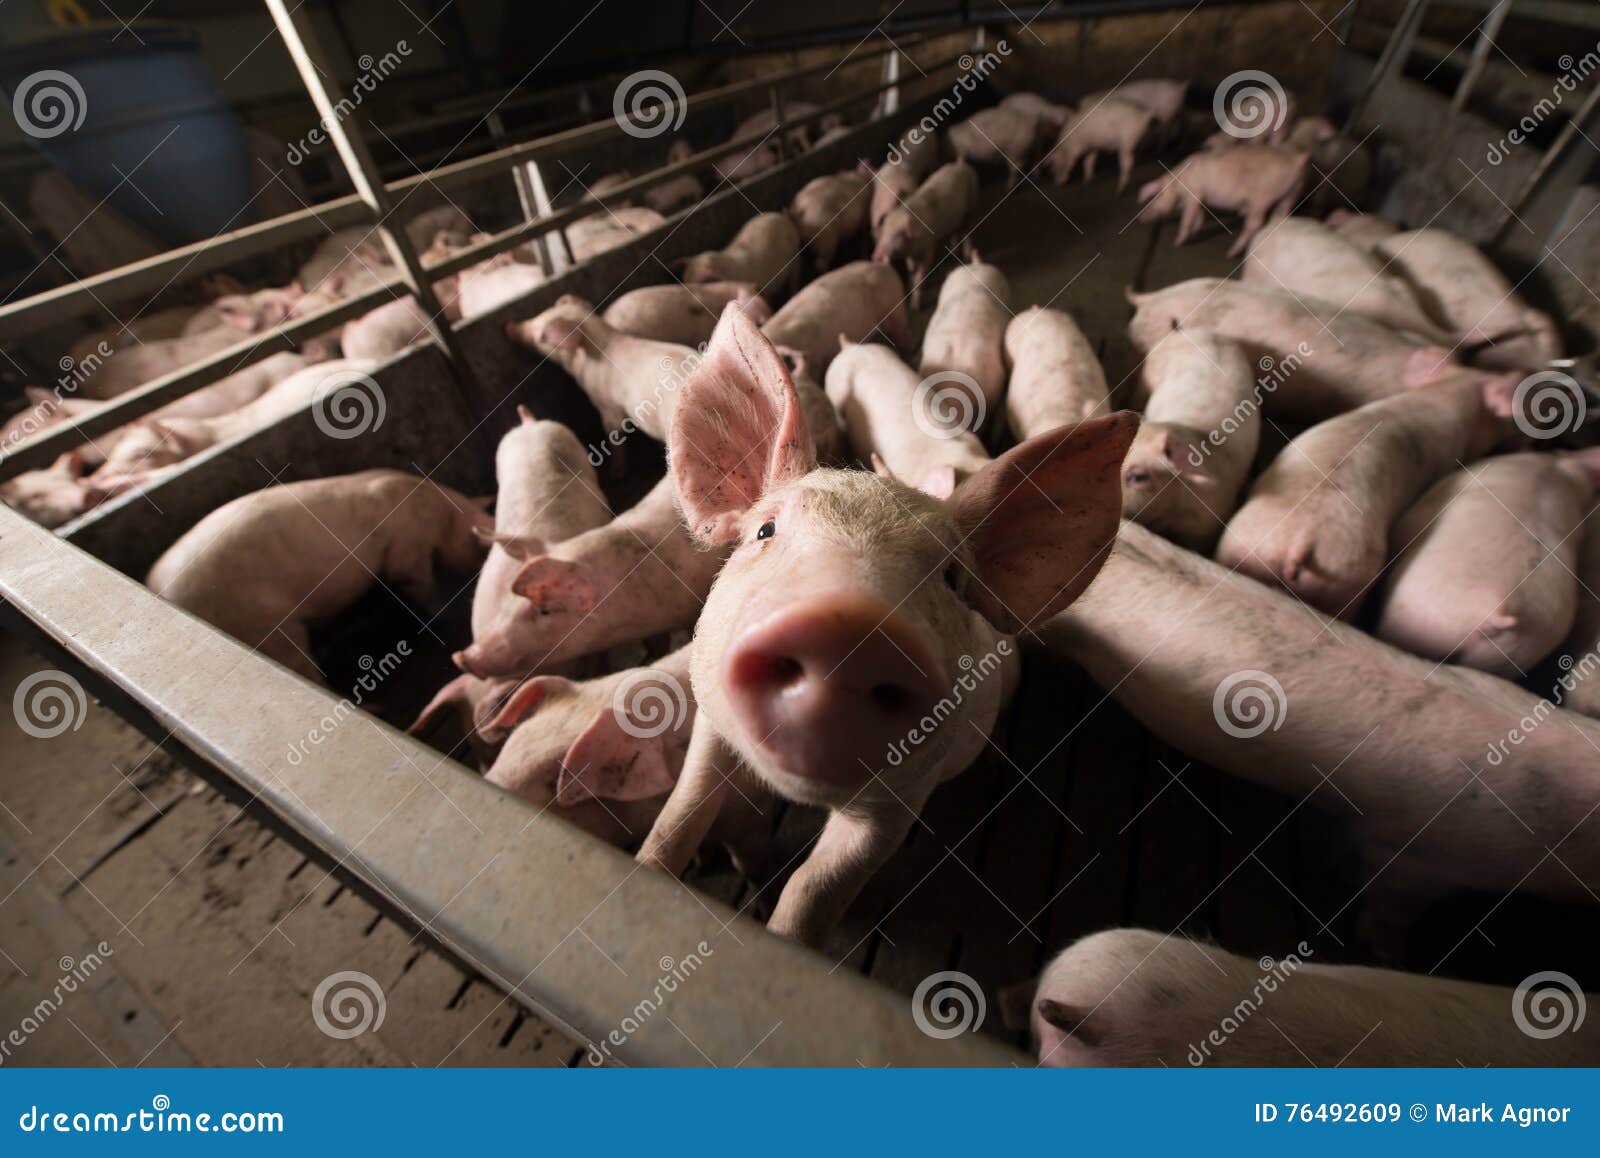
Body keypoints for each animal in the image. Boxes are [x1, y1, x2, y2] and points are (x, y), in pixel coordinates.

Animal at [146, 470, 491, 683]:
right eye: (483, 553)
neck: (441, 515)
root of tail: (160, 589)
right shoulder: (408, 550)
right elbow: (419, 586)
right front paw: (447, 613)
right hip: (267, 626)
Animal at [872, 161, 980, 307]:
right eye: (884, 231)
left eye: (898, 234)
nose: (875, 255)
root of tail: (960, 163)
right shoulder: (910, 253)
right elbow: (911, 269)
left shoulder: (928, 247)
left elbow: (922, 272)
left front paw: (915, 306)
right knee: (956, 231)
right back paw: (954, 250)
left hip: (972, 204)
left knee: (967, 230)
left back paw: (967, 255)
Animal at [1136, 145, 1310, 255]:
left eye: (1152, 199)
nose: (1140, 218)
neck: (1178, 183)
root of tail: (1297, 158)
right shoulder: (1201, 197)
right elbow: (1199, 215)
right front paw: (1196, 231)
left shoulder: (1194, 192)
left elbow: (1187, 218)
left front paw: (1177, 243)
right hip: (1293, 191)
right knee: (1280, 215)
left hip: (1263, 195)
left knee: (1255, 223)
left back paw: (1232, 253)